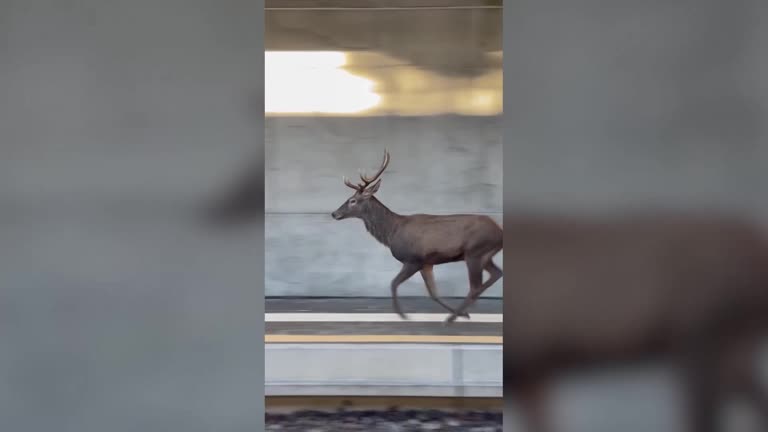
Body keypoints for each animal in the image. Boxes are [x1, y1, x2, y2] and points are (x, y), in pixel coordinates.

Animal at [331, 149, 503, 324]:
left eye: (352, 200)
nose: (334, 213)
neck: (392, 231)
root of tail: (499, 231)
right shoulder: (427, 263)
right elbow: (433, 293)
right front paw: (463, 314)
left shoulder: (413, 259)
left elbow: (393, 283)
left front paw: (402, 314)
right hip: (484, 255)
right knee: (496, 274)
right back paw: (460, 313)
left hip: (475, 252)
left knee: (475, 286)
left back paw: (451, 318)